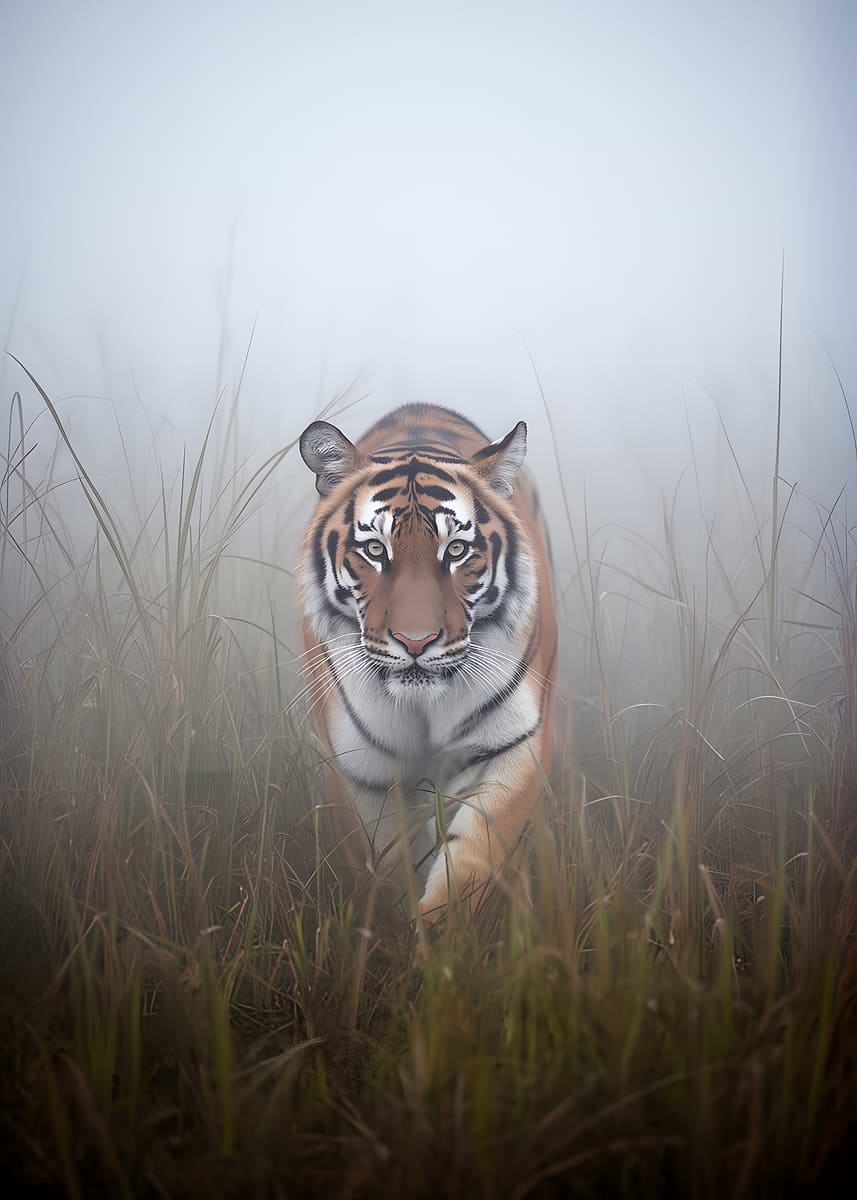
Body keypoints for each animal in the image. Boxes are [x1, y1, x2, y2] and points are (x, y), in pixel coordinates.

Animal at [297, 403, 557, 923]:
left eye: (455, 550)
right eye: (375, 550)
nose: (415, 642)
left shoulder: (516, 745)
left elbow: (475, 854)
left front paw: (441, 932)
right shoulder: (358, 769)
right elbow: (382, 869)